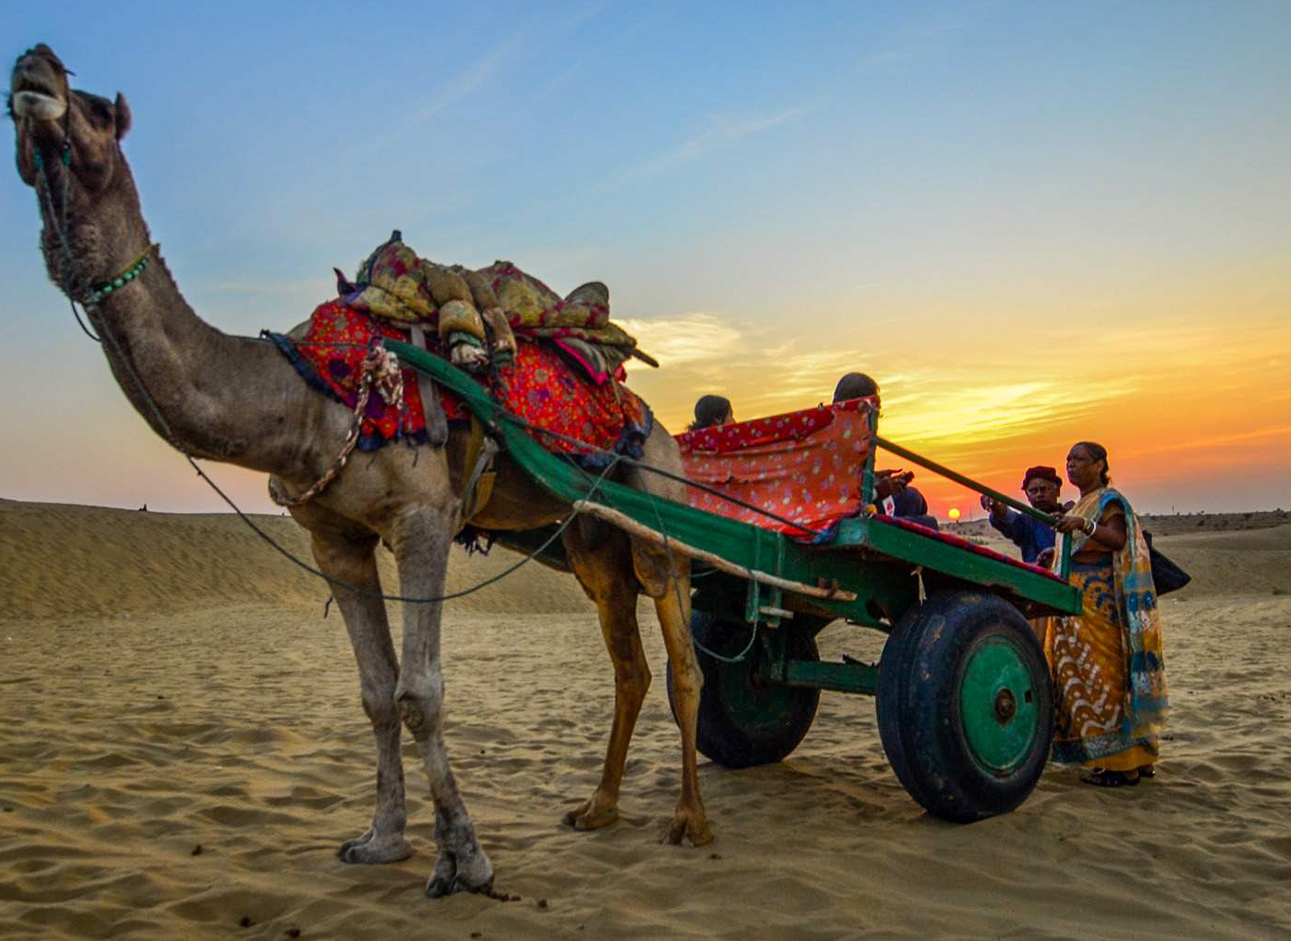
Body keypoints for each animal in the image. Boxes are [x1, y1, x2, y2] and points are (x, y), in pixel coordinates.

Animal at [10, 43, 712, 893]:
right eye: (16, 97)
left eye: (96, 111)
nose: (34, 65)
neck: (306, 395)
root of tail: (643, 407)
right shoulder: (332, 537)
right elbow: (377, 693)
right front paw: (381, 839)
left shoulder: (422, 521)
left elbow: (422, 692)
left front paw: (464, 857)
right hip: (588, 539)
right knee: (629, 662)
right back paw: (598, 806)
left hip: (656, 502)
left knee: (684, 661)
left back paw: (690, 821)